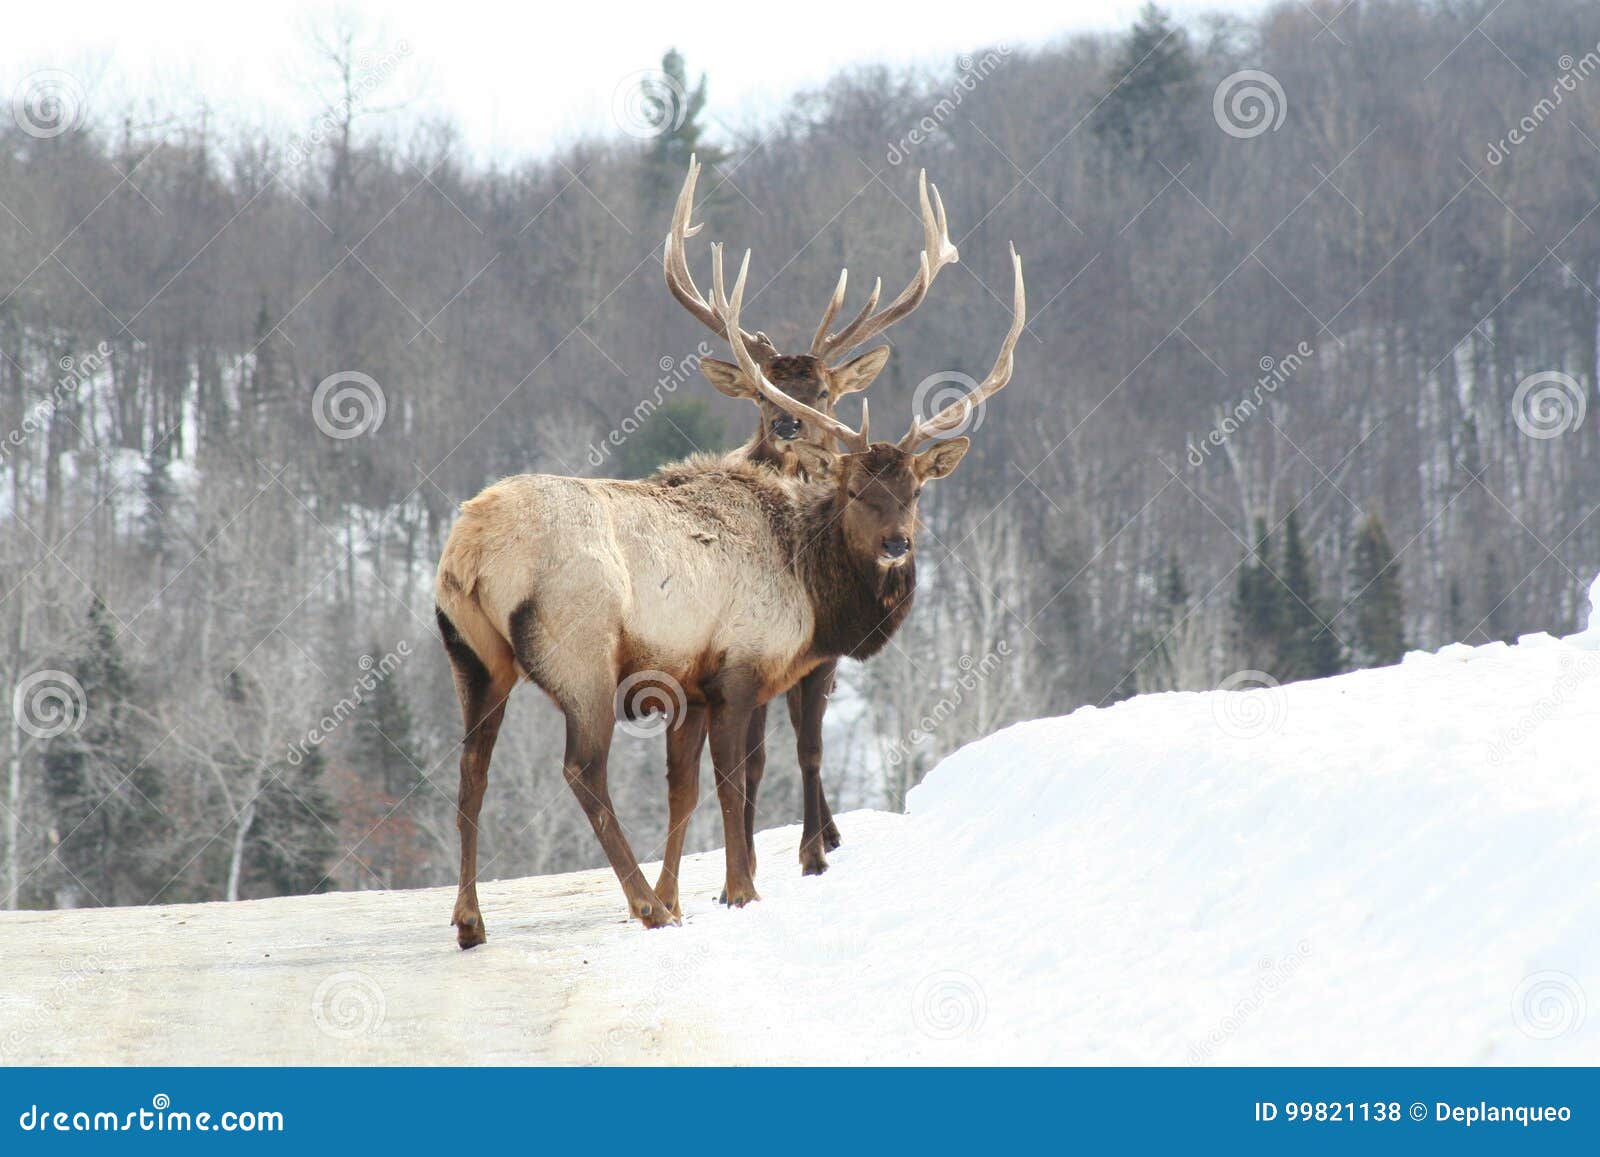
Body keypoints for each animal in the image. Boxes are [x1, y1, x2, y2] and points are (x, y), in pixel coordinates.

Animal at [434, 239, 1023, 949]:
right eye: (856, 489)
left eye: (915, 490)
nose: (896, 545)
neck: (811, 592)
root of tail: (471, 546)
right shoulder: (738, 670)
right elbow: (735, 780)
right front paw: (739, 890)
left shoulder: (688, 685)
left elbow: (684, 790)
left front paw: (685, 894)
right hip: (581, 653)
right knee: (582, 769)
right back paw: (642, 906)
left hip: (474, 657)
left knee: (471, 766)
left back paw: (472, 921)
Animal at [655, 156, 960, 887]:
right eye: (762, 389)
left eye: (822, 389)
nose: (790, 425)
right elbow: (757, 754)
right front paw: (755, 856)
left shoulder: (816, 653)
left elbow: (810, 746)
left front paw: (814, 847)